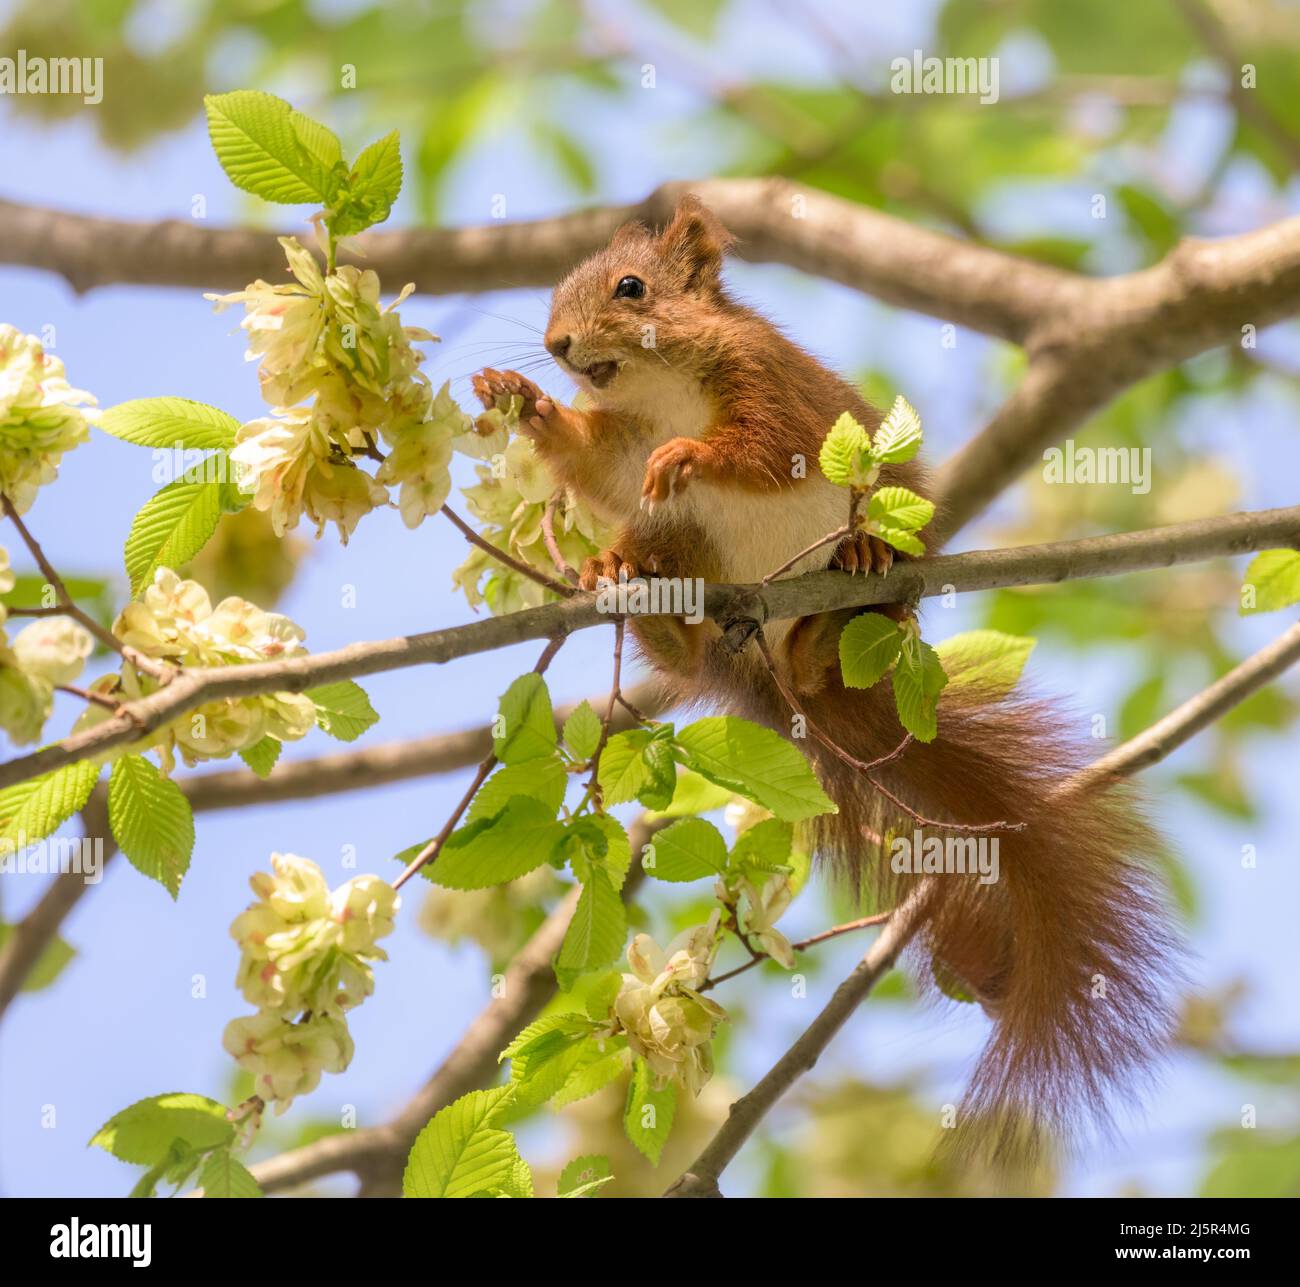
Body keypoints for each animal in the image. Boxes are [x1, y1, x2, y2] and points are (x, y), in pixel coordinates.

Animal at [472, 195, 1180, 1161]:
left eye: (632, 288)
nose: (556, 344)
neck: (657, 390)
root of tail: (774, 662)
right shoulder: (616, 448)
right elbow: (595, 466)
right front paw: (522, 399)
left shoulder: (770, 387)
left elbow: (761, 449)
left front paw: (688, 454)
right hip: (689, 552)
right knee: (681, 623)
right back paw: (630, 586)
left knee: (850, 606)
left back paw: (854, 579)